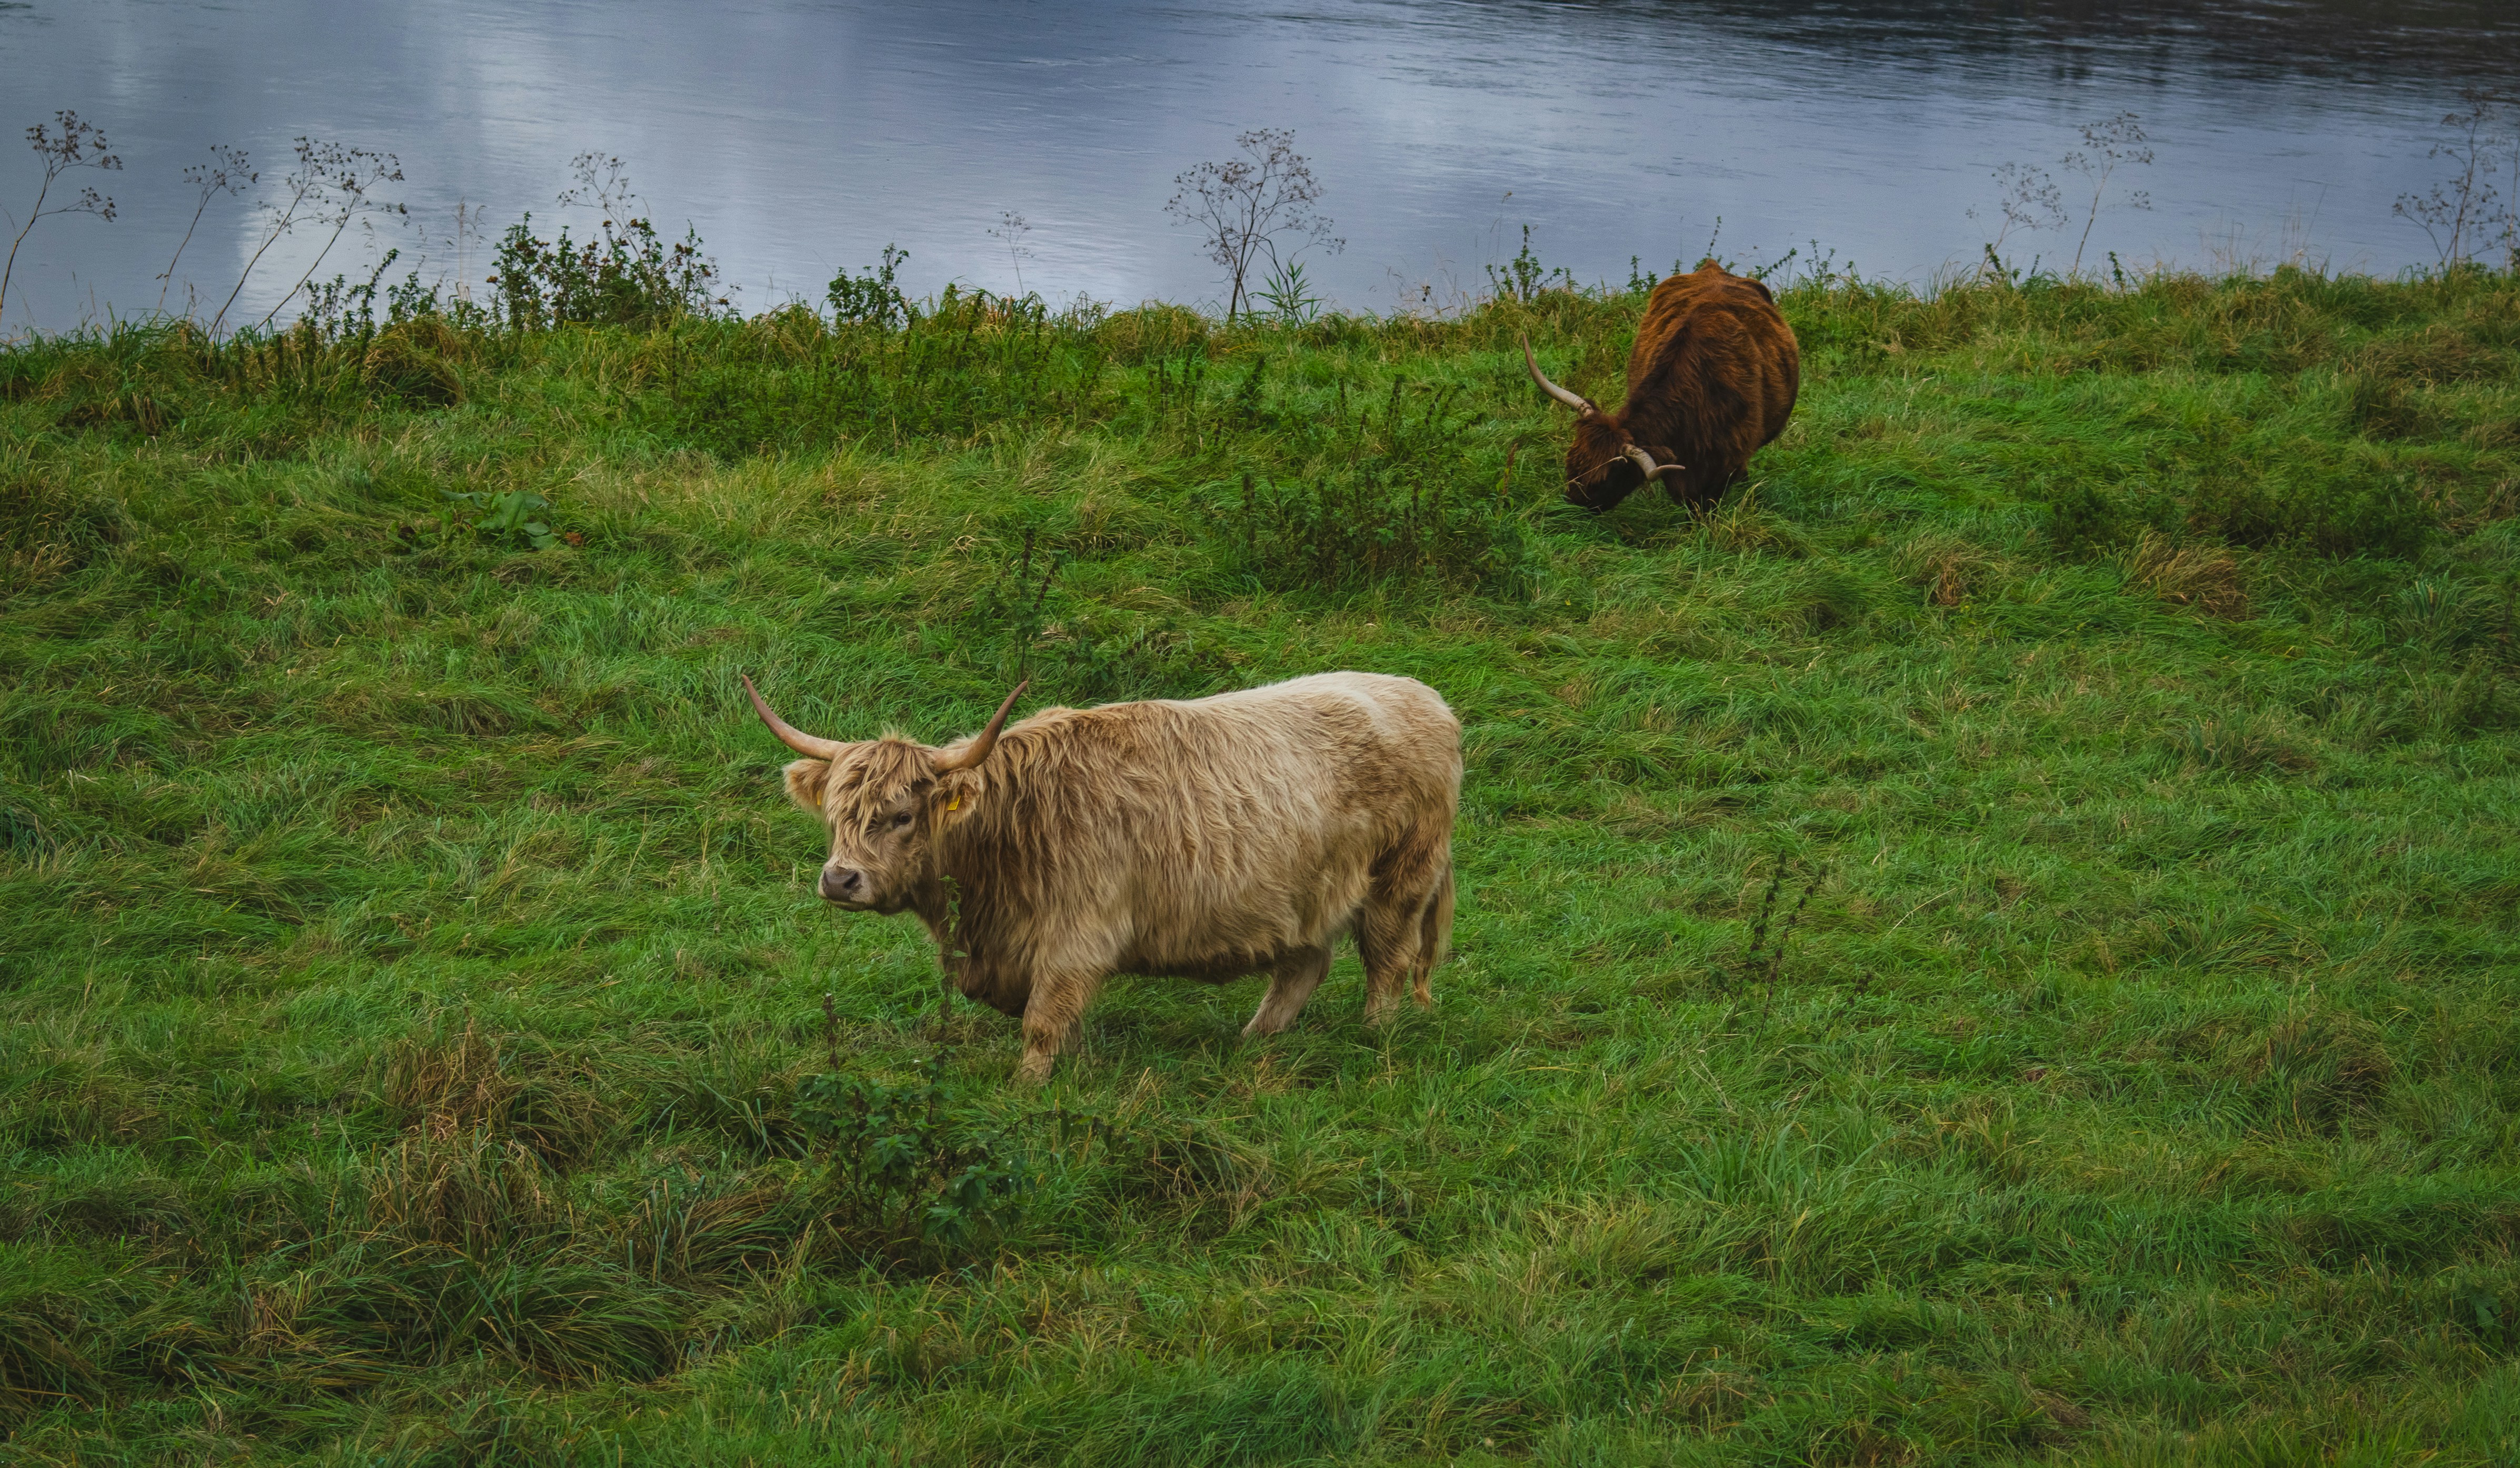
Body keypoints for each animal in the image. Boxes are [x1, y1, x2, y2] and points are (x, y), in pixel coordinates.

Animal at [745, 670, 1461, 1085]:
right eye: (836, 815)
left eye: (900, 816)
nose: (840, 880)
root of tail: (1425, 696)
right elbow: (1058, 1019)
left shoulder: (1076, 937)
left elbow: (1041, 1023)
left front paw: (1027, 1092)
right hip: (1299, 895)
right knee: (1303, 964)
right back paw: (1251, 1043)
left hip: (1401, 877)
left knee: (1386, 961)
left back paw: (1372, 1037)